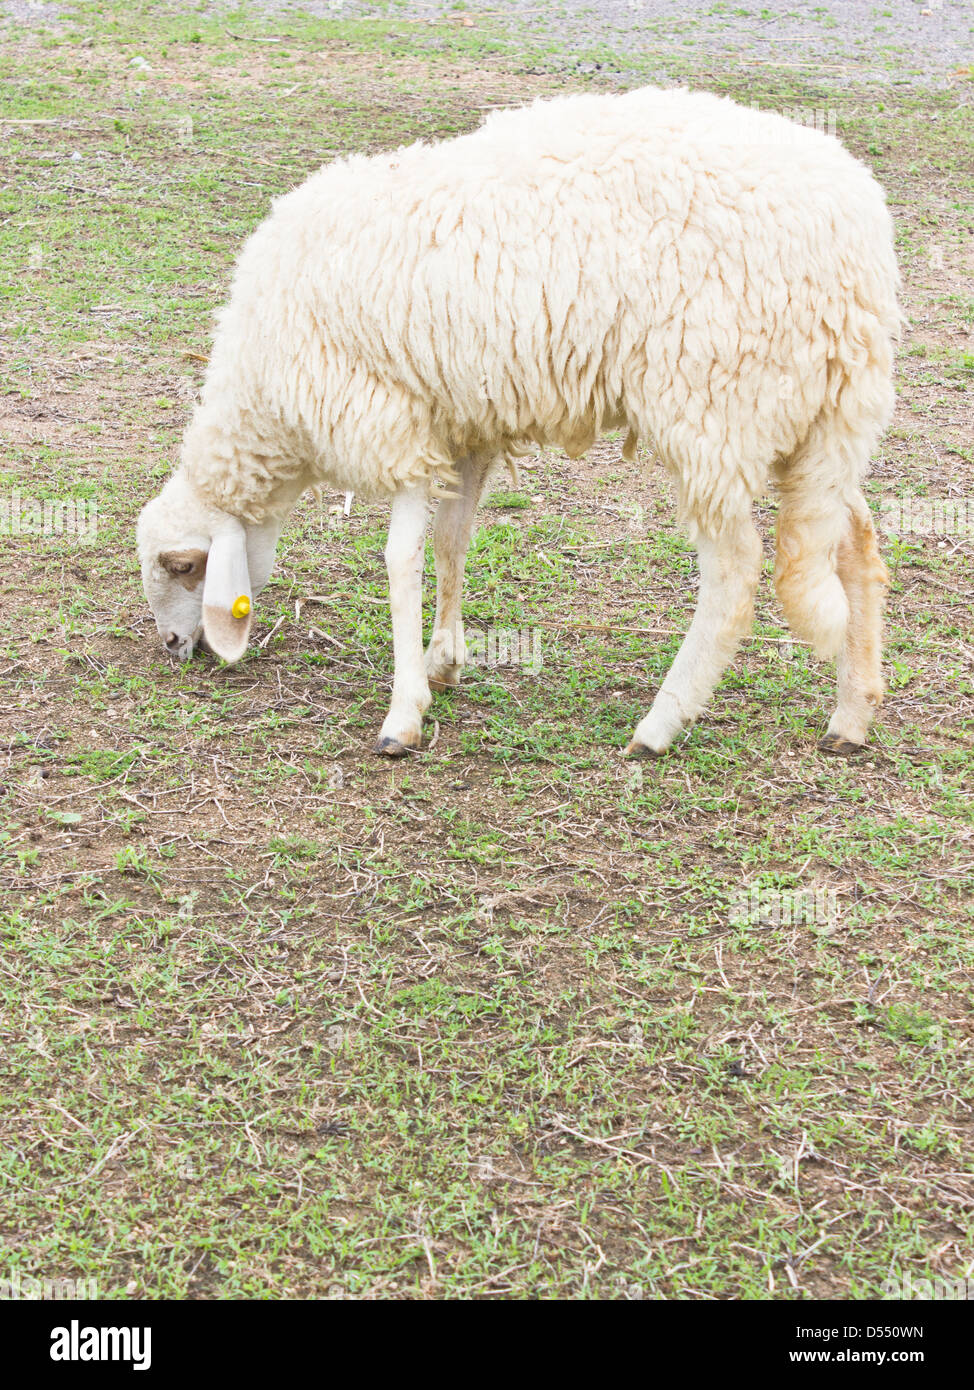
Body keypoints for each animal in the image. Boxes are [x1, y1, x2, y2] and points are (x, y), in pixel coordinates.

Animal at [137, 85, 899, 758]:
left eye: (183, 566)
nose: (172, 647)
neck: (265, 399)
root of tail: (858, 236)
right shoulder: (461, 425)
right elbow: (452, 540)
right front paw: (443, 662)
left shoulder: (392, 424)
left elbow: (401, 561)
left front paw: (402, 714)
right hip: (819, 413)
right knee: (854, 540)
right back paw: (852, 716)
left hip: (712, 402)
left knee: (736, 574)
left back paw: (660, 725)